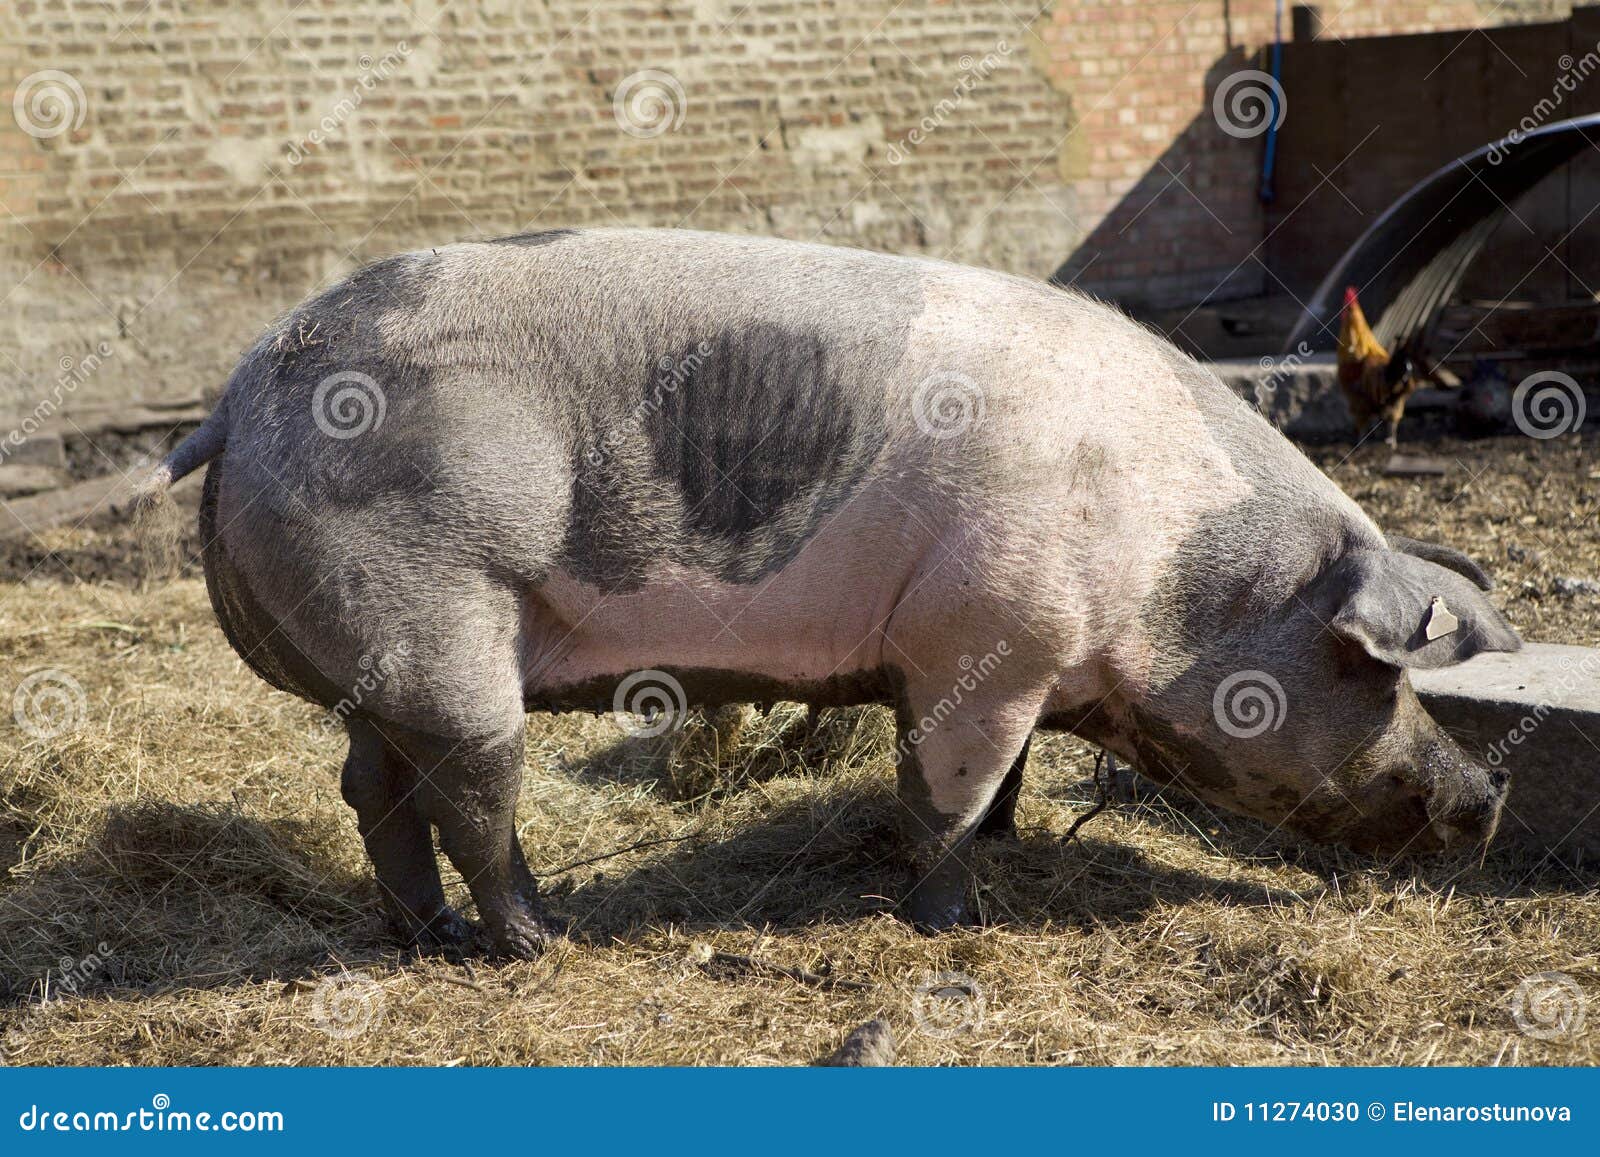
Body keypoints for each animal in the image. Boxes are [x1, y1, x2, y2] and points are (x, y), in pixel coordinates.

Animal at [138, 228, 1520, 956]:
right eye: (1373, 670)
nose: (1483, 796)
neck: (1171, 563)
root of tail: (242, 393)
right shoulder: (986, 633)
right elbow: (942, 796)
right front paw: (952, 922)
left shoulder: (979, 655)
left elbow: (994, 783)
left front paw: (1010, 844)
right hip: (435, 616)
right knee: (468, 789)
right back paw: (535, 937)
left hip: (376, 652)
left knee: (371, 782)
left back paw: (423, 934)